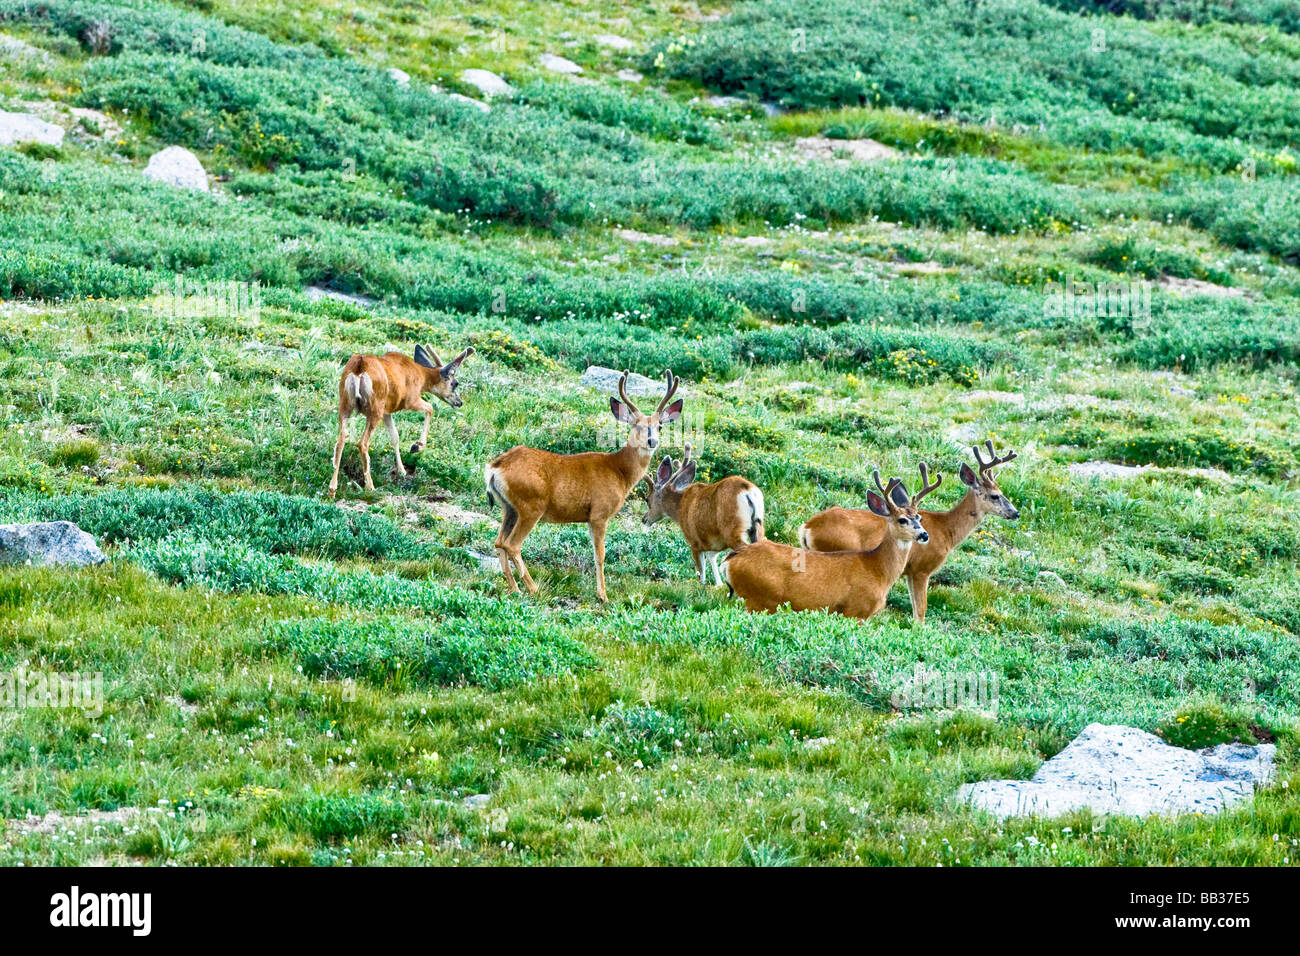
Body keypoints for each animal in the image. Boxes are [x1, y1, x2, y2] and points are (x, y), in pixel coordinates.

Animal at [328, 344, 474, 497]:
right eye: (455, 383)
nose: (459, 402)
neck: (421, 375)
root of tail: (359, 368)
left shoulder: (387, 411)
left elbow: (395, 437)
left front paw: (403, 471)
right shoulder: (410, 400)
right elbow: (430, 408)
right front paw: (417, 446)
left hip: (345, 403)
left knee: (341, 438)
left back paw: (332, 489)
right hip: (375, 407)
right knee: (362, 443)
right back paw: (370, 487)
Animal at [484, 370, 683, 602]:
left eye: (659, 426)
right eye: (637, 425)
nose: (652, 441)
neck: (619, 472)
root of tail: (495, 467)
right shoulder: (599, 514)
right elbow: (600, 555)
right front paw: (603, 595)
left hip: (509, 508)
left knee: (499, 542)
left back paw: (514, 588)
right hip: (531, 506)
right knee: (512, 544)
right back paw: (533, 588)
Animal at [643, 442, 765, 585]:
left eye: (647, 499)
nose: (644, 519)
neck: (680, 508)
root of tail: (748, 491)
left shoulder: (694, 542)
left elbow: (701, 575)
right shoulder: (714, 544)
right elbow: (712, 560)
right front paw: (719, 584)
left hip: (732, 530)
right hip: (758, 527)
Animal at [721, 465, 940, 620]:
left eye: (919, 517)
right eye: (902, 520)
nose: (924, 535)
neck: (878, 569)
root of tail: (730, 560)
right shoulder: (856, 610)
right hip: (758, 599)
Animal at [798, 442, 1019, 623]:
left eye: (1002, 493)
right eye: (995, 496)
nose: (1015, 513)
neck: (947, 530)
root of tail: (807, 527)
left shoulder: (909, 572)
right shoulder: (921, 569)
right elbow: (920, 610)